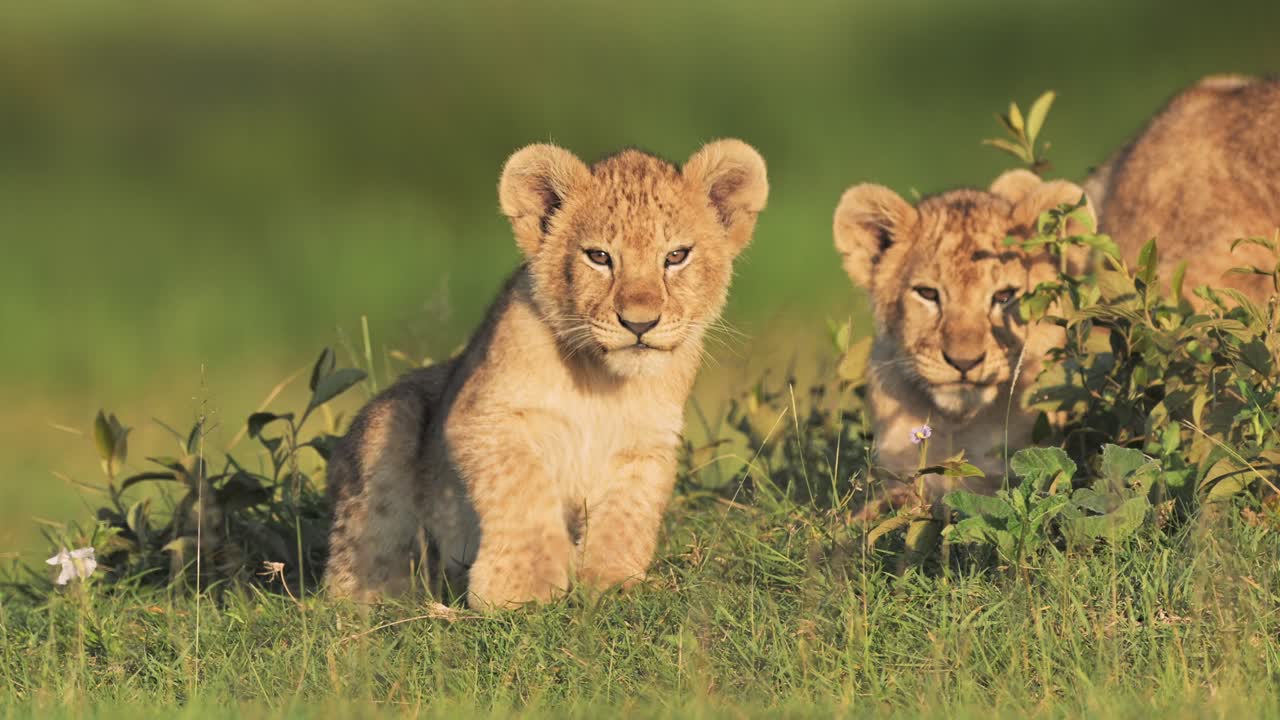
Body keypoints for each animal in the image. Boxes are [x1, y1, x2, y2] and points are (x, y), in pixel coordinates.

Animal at [324, 139, 768, 609]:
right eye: (599, 257)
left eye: (676, 257)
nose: (640, 323)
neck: (601, 380)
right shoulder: (482, 418)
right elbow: (523, 489)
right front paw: (521, 588)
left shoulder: (647, 443)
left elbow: (629, 513)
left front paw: (611, 584)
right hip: (390, 422)